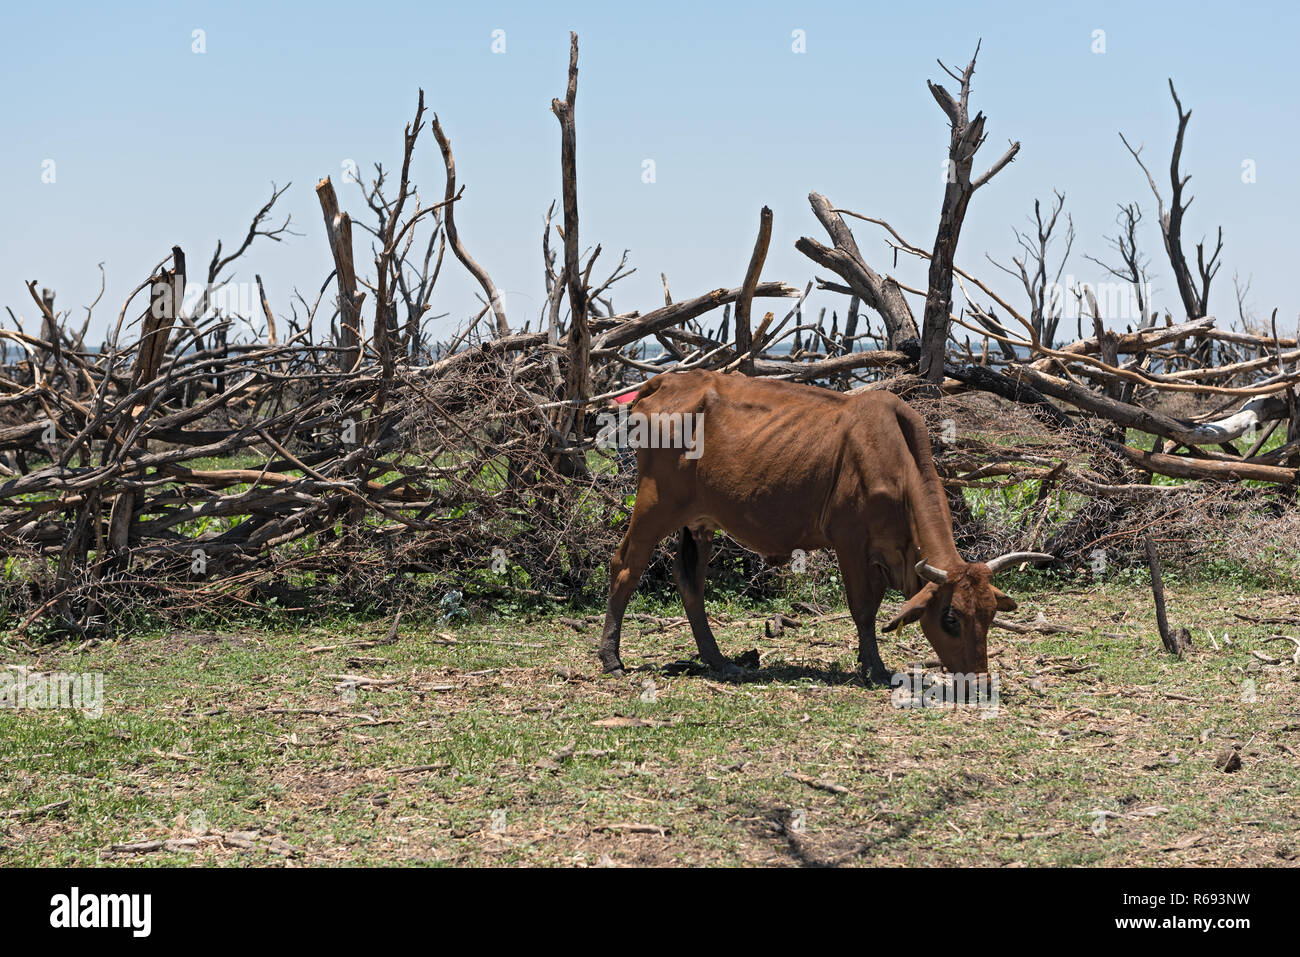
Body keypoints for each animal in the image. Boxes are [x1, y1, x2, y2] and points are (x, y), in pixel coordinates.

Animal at [598, 369, 1049, 685]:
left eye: (989, 616)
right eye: (950, 618)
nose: (979, 679)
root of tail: (664, 380)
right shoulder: (849, 541)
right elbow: (863, 608)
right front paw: (875, 670)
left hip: (699, 521)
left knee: (690, 582)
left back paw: (719, 661)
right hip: (654, 504)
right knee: (625, 567)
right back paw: (611, 658)